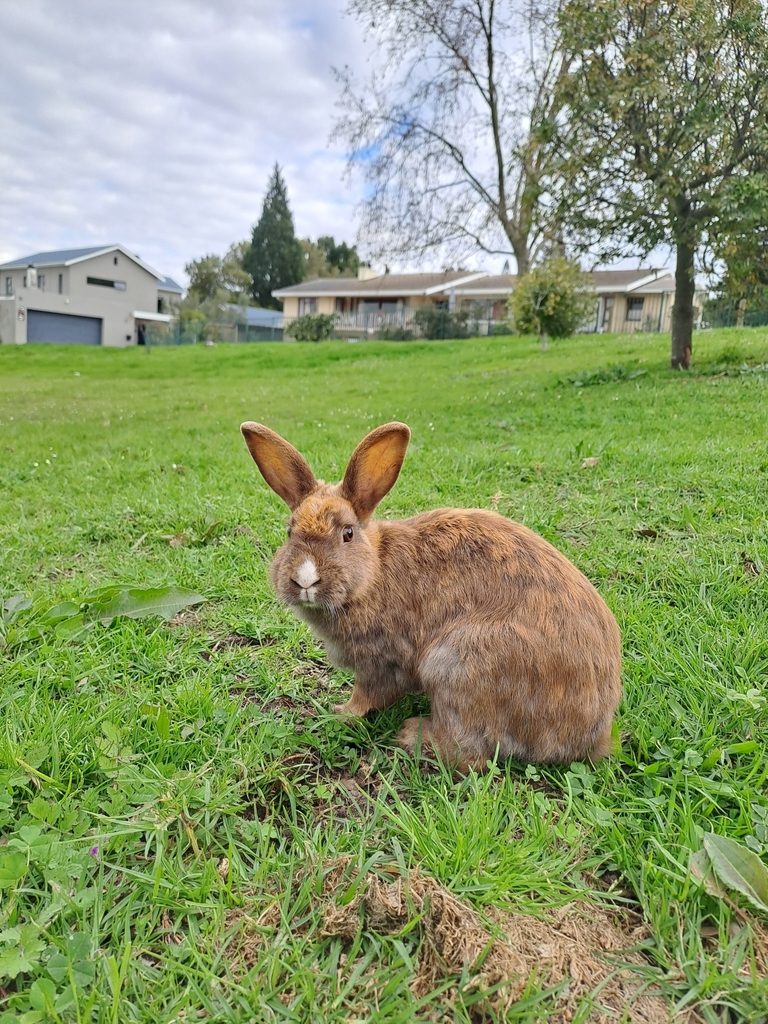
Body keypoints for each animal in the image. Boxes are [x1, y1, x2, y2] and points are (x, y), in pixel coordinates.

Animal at [241, 420, 622, 771]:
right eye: (289, 532)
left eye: (347, 533)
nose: (305, 579)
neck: (374, 572)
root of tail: (590, 734)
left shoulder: (381, 660)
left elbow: (368, 695)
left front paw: (341, 712)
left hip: (457, 665)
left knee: (469, 753)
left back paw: (413, 734)